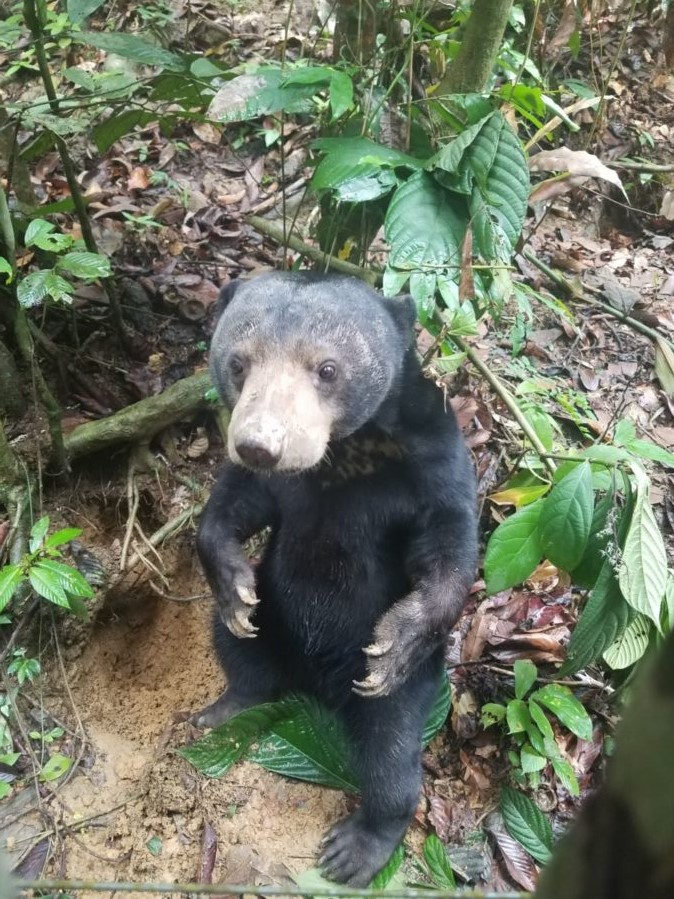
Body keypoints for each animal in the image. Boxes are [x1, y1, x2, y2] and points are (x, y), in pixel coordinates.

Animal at [195, 271, 478, 886]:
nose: (260, 444)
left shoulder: (432, 461)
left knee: (390, 755)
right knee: (237, 647)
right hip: (274, 624)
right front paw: (233, 583)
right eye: (238, 363)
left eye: (326, 368)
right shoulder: (270, 485)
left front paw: (398, 638)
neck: (340, 458)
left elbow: (449, 540)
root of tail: (315, 684)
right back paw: (224, 706)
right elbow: (234, 504)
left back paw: (357, 846)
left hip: (402, 695)